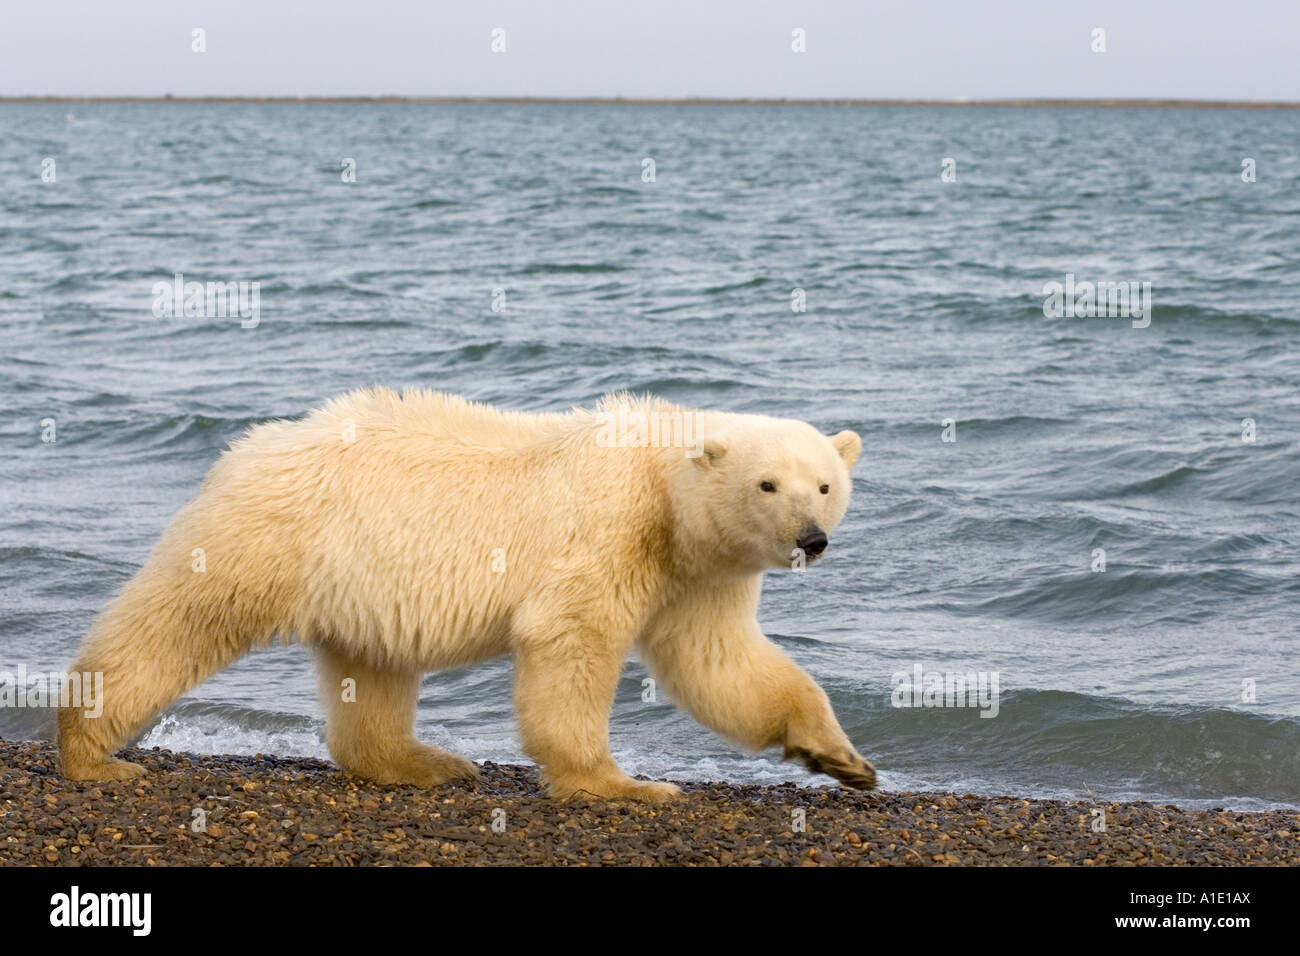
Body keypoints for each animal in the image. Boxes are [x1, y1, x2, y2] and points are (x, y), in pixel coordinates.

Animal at [57, 388, 876, 801]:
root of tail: (239, 450)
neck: (660, 492)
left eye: (823, 485)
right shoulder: (607, 533)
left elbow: (718, 662)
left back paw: (426, 761)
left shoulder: (700, 572)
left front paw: (840, 758)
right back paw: (92, 748)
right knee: (177, 622)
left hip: (360, 577)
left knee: (374, 671)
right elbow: (569, 644)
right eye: (767, 484)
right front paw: (625, 785)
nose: (811, 538)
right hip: (266, 536)